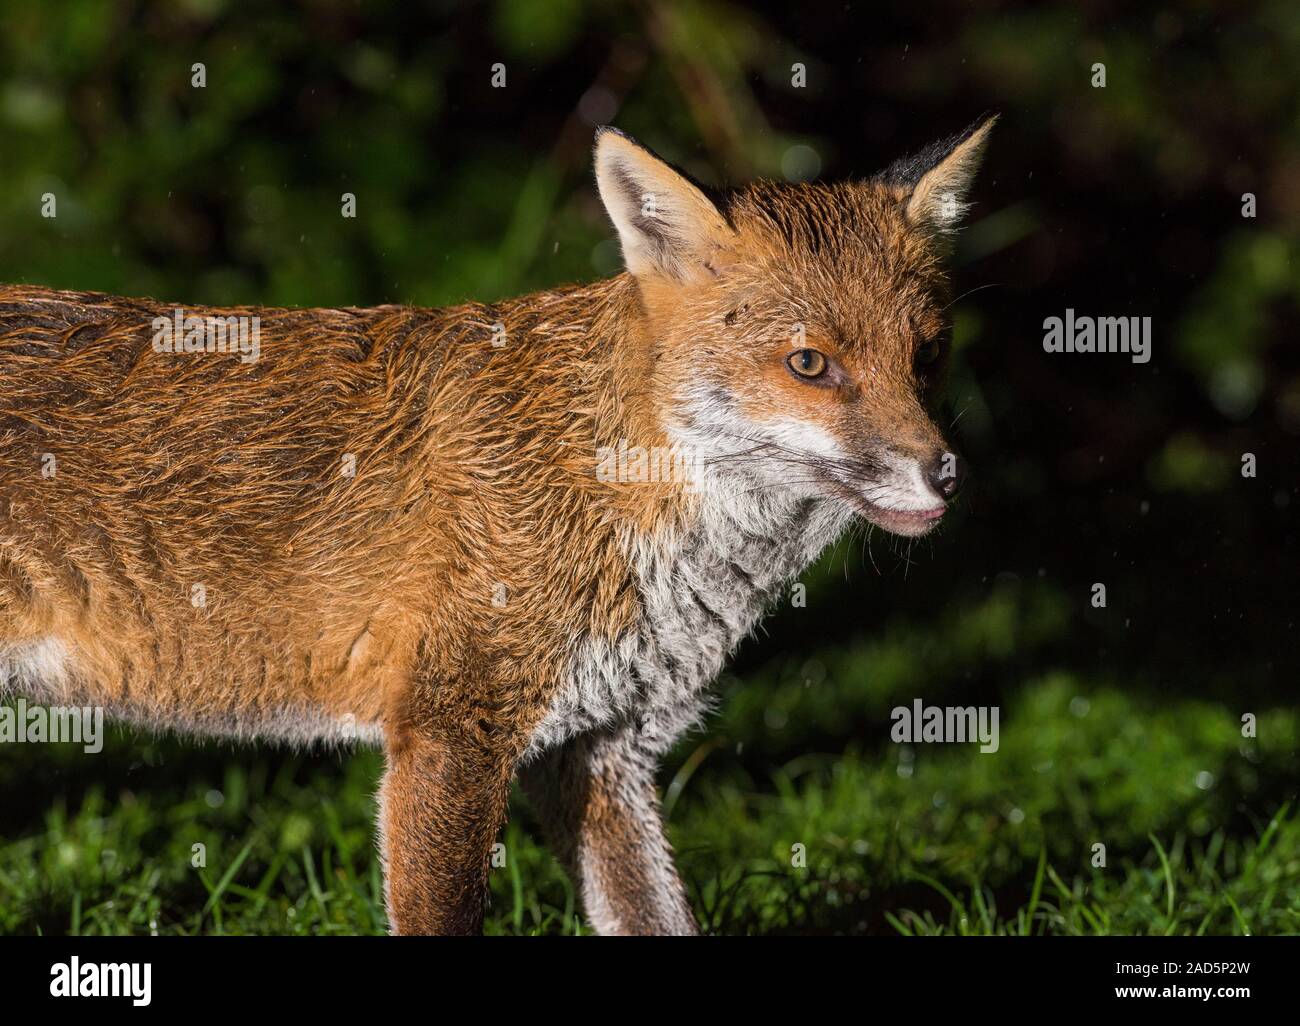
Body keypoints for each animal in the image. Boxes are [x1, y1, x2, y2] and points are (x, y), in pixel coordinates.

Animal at [0, 117, 994, 935]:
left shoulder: (601, 753)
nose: (944, 473)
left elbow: (657, 918)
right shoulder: (449, 732)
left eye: (929, 355)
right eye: (809, 365)